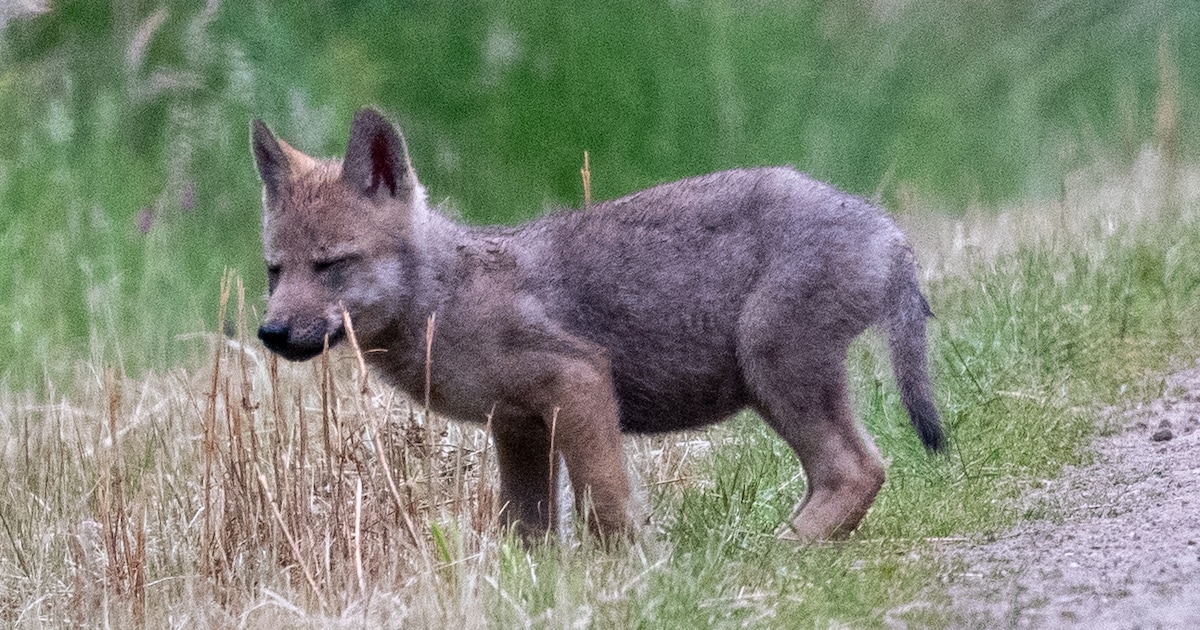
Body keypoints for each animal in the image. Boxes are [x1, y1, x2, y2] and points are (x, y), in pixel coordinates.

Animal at [251, 108, 943, 544]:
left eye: (331, 265)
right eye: (274, 271)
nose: (271, 333)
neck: (445, 302)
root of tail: (888, 232)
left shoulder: (578, 382)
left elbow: (607, 508)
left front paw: (637, 571)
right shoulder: (518, 425)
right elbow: (526, 532)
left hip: (773, 373)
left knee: (858, 470)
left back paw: (775, 550)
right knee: (851, 473)